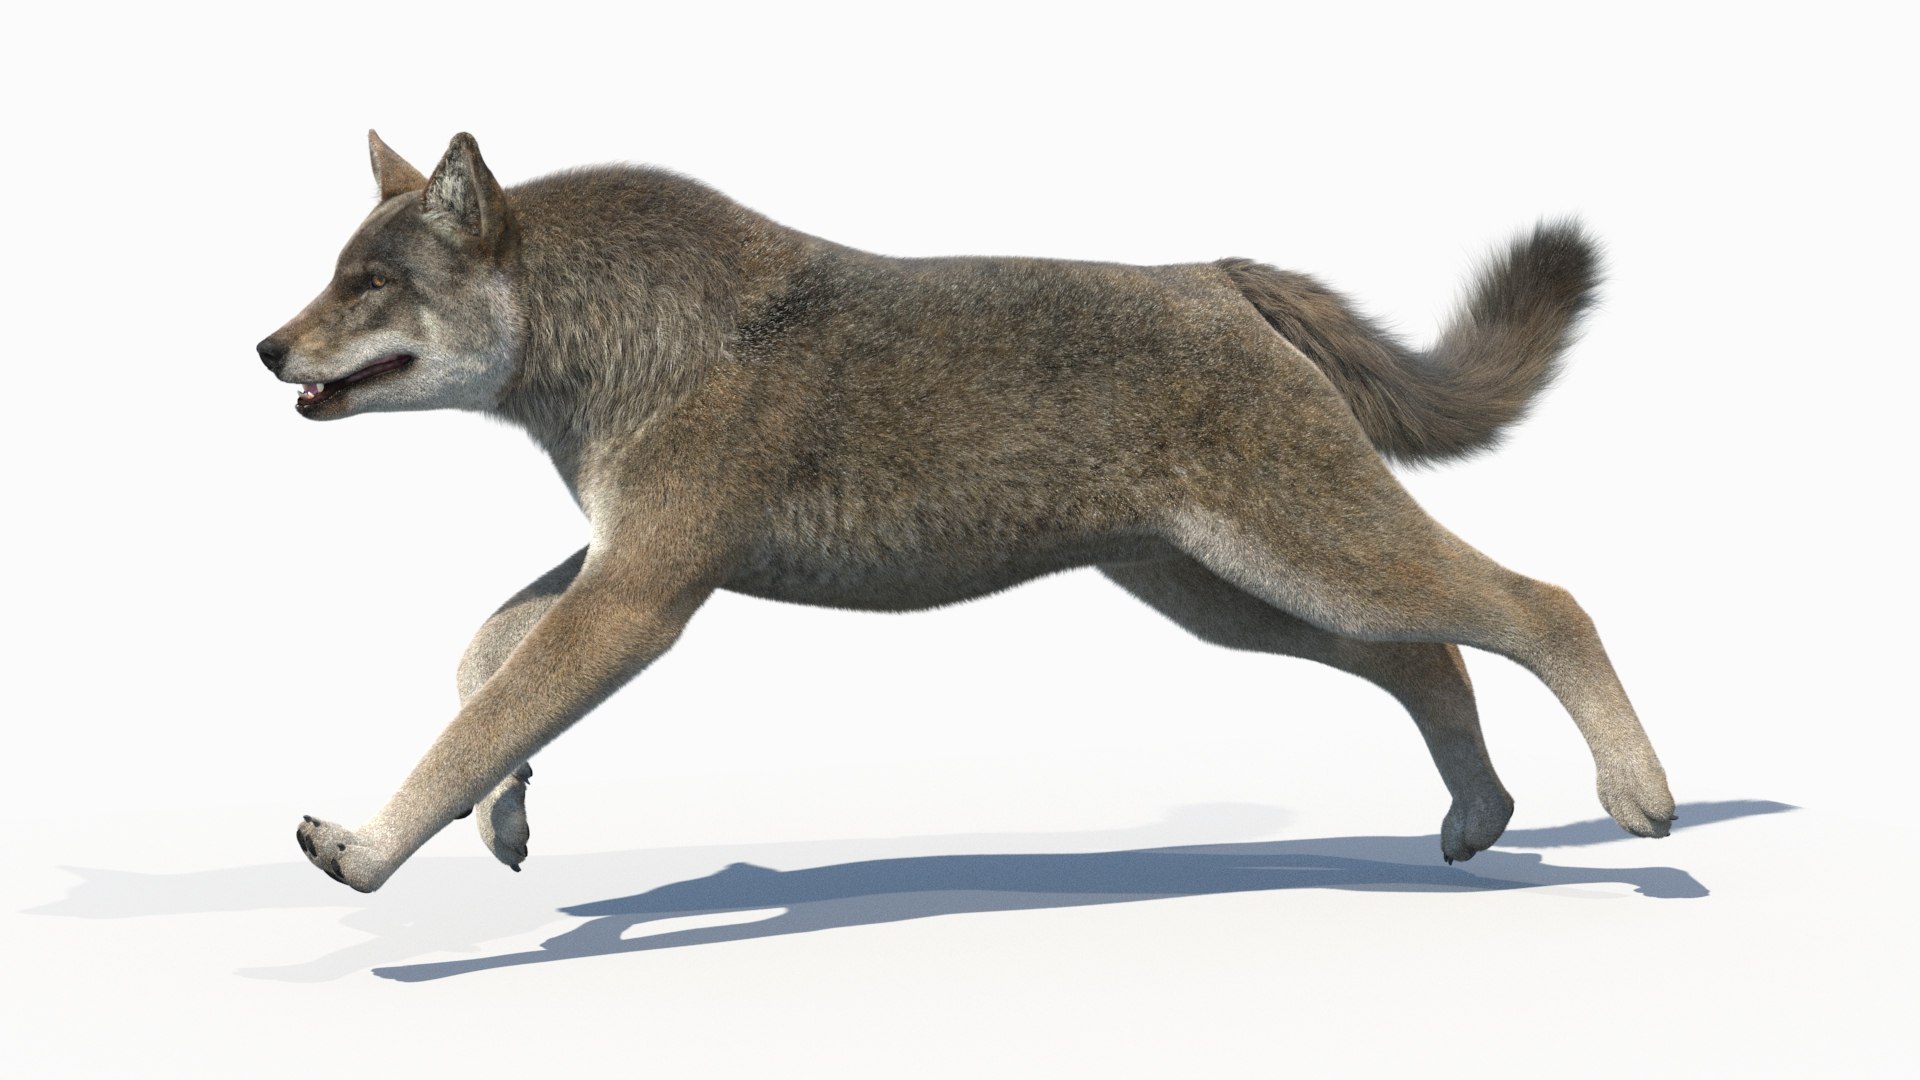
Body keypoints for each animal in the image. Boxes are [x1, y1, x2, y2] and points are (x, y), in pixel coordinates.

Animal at [259, 131, 1673, 892]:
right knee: (1436, 656)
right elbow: (479, 666)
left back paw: (1641, 798)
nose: (267, 350)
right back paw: (1479, 819)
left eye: (370, 284)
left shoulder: (644, 594)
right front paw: (506, 815)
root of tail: (1215, 275)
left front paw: (368, 850)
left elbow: (475, 718)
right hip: (1233, 597)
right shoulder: (619, 566)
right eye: (335, 276)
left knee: (1544, 605)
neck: (609, 339)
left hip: (1306, 559)